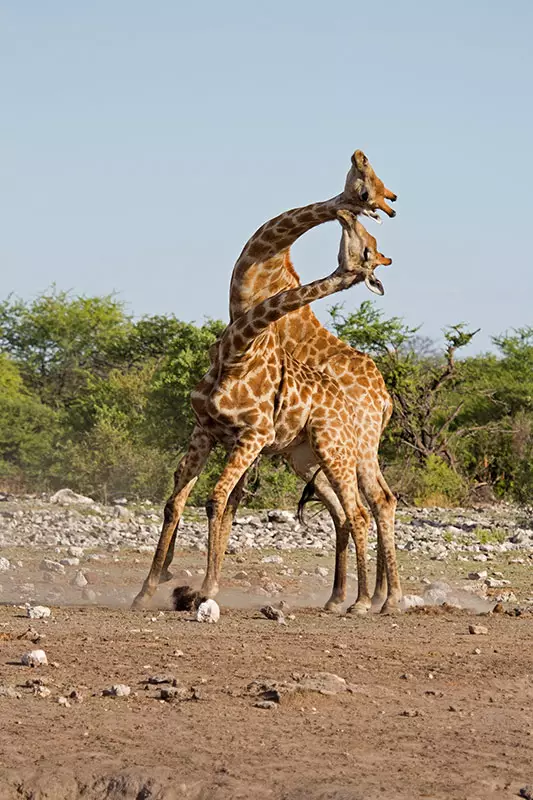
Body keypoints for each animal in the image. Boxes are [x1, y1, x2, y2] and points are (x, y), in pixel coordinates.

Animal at [131, 209, 392, 608]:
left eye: (366, 250)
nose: (346, 212)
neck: (237, 352)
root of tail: (386, 399)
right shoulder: (205, 430)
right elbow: (178, 503)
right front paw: (147, 589)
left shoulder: (253, 435)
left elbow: (216, 500)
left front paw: (205, 589)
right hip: (306, 457)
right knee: (349, 511)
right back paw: (349, 598)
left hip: (344, 449)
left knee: (368, 507)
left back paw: (370, 600)